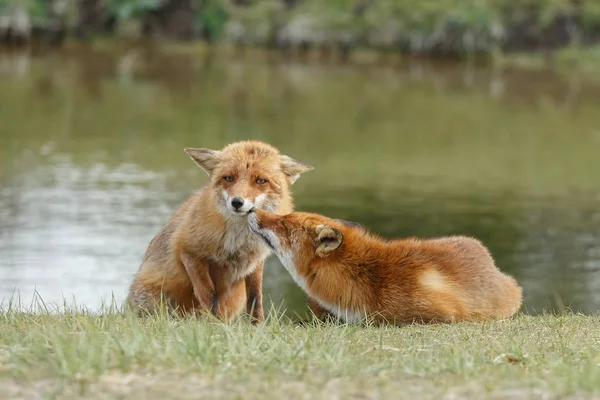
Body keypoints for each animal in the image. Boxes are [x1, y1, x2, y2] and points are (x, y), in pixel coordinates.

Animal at [126, 141, 314, 322]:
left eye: (261, 180)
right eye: (229, 178)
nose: (237, 202)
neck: (240, 241)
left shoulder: (255, 261)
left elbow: (255, 300)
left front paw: (257, 327)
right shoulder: (188, 251)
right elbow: (209, 296)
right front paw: (216, 327)